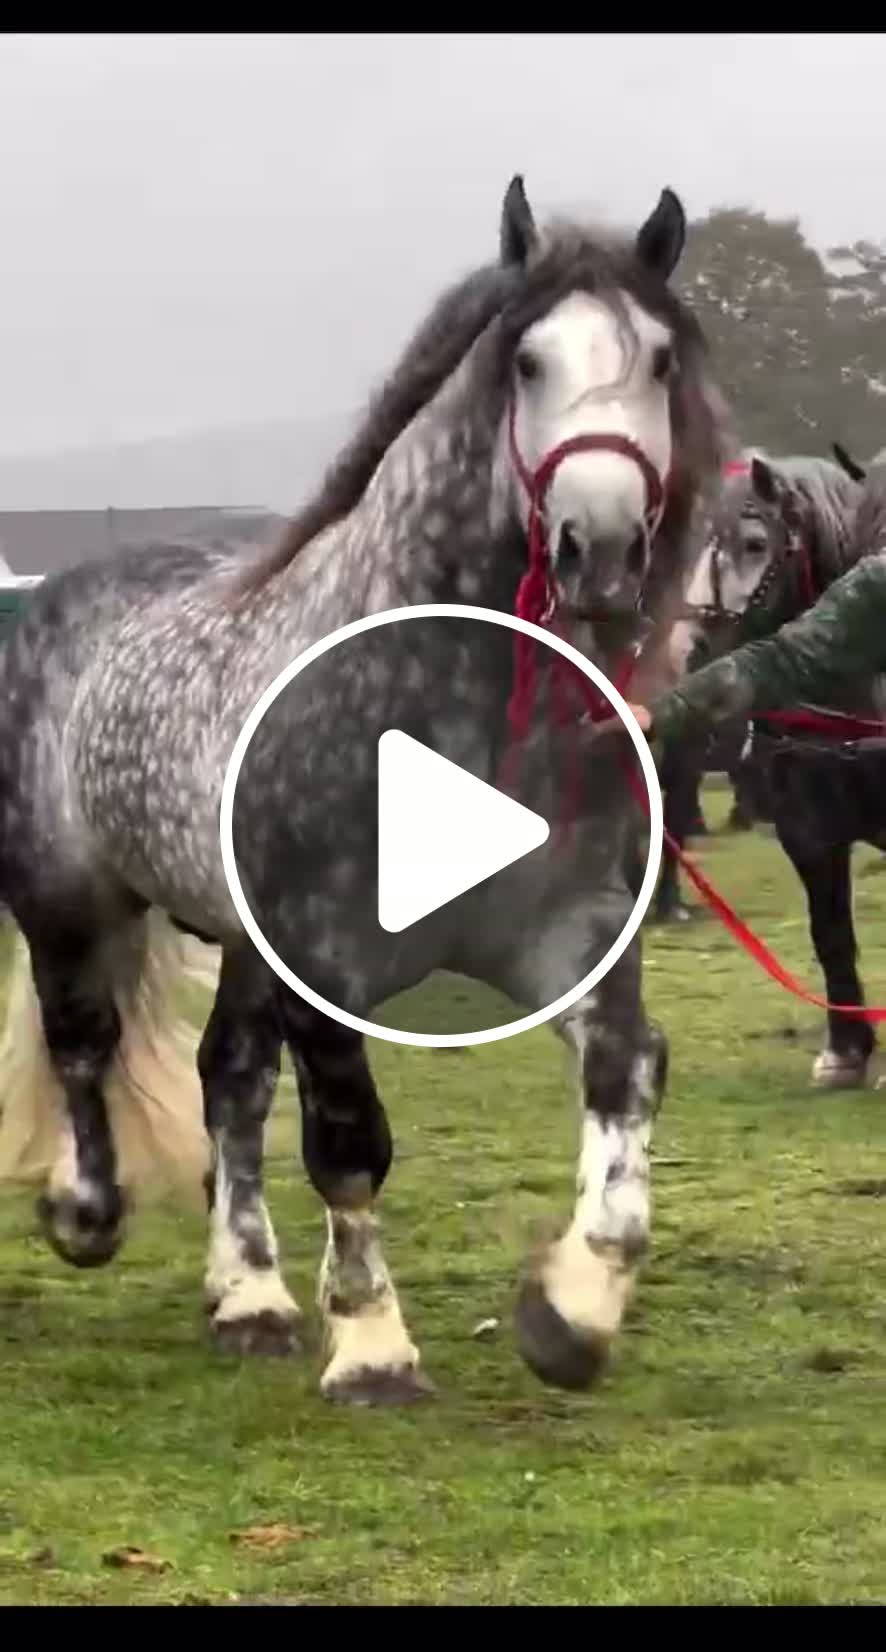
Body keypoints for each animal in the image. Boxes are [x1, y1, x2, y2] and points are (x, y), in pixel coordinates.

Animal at [0, 177, 730, 1403]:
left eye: (663, 359)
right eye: (526, 361)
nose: (600, 546)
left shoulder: (566, 934)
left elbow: (630, 1072)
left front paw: (569, 1313)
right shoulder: (322, 962)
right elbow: (348, 1141)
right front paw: (375, 1347)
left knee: (227, 1077)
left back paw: (247, 1293)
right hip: (67, 900)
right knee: (87, 1044)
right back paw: (87, 1212)